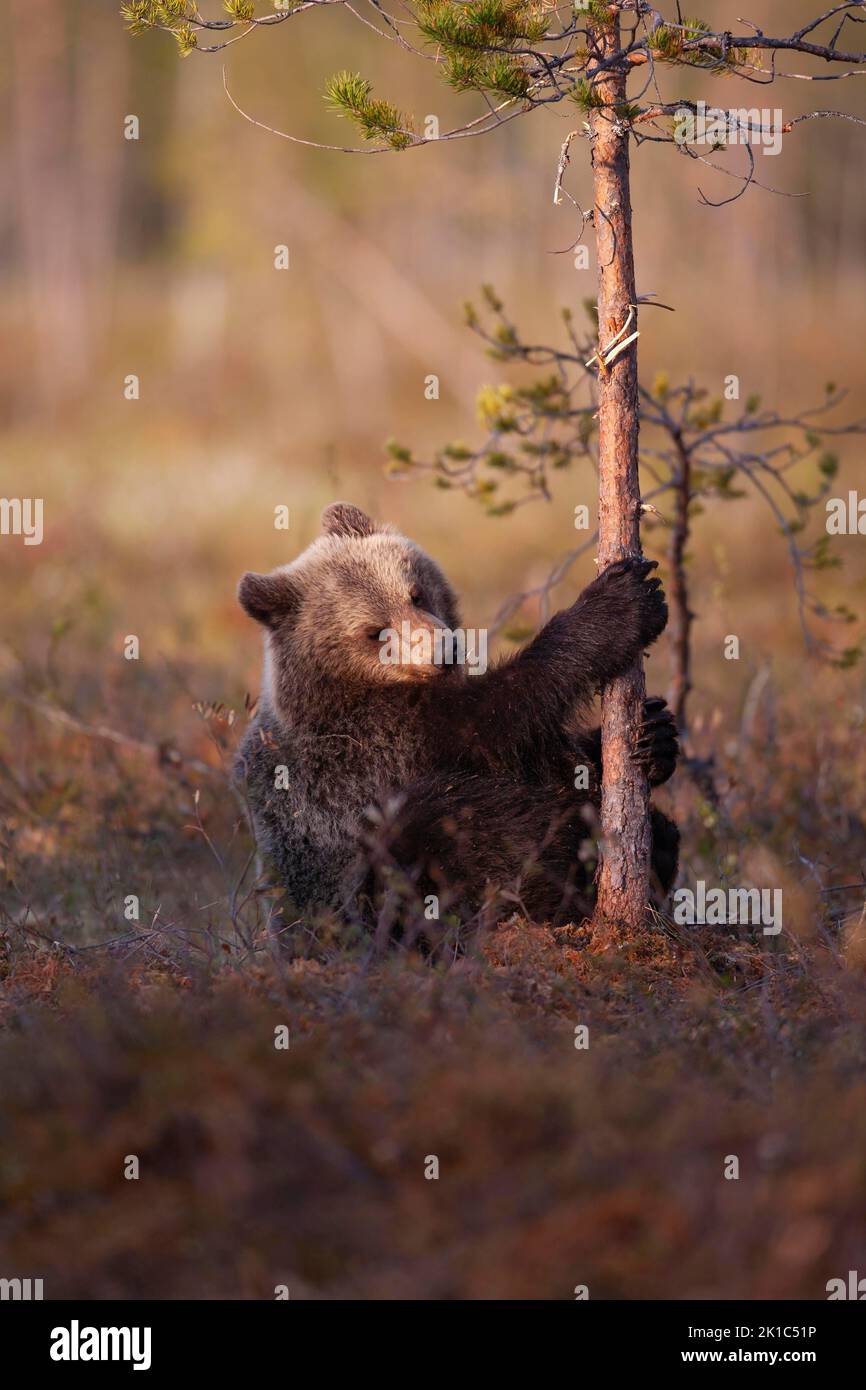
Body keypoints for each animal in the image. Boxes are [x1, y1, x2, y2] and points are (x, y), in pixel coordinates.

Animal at [235, 501, 679, 946]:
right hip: (357, 900)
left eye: (415, 593)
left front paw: (653, 736)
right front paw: (620, 605)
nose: (443, 650)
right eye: (375, 631)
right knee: (426, 827)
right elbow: (500, 719)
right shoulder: (373, 745)